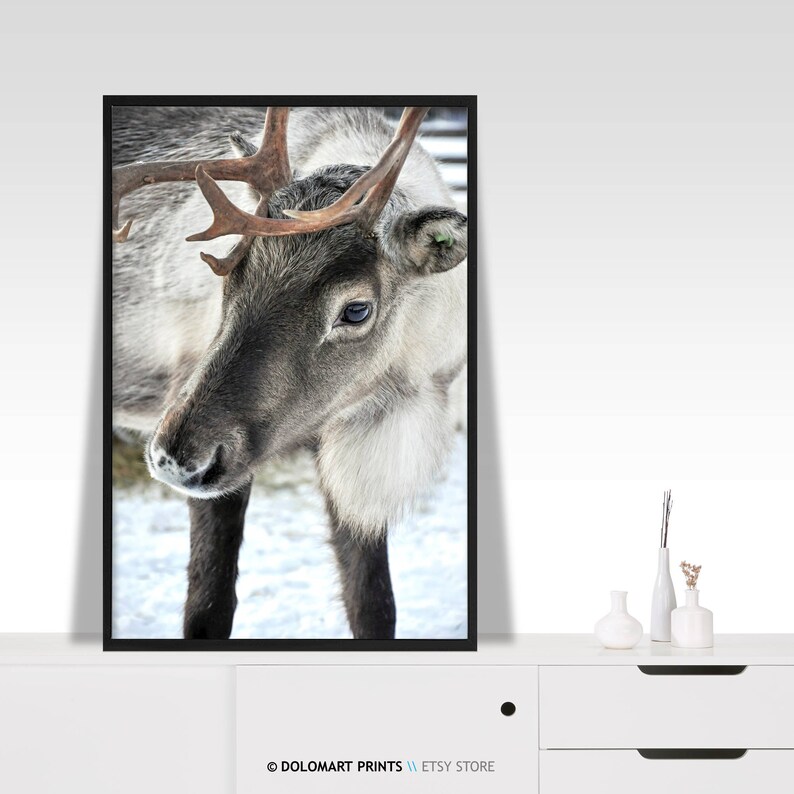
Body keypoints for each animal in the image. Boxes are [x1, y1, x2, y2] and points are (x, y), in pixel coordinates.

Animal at [111, 105, 468, 640]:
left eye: (356, 310)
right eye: (229, 276)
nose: (175, 459)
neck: (406, 388)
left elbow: (373, 605)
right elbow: (207, 612)